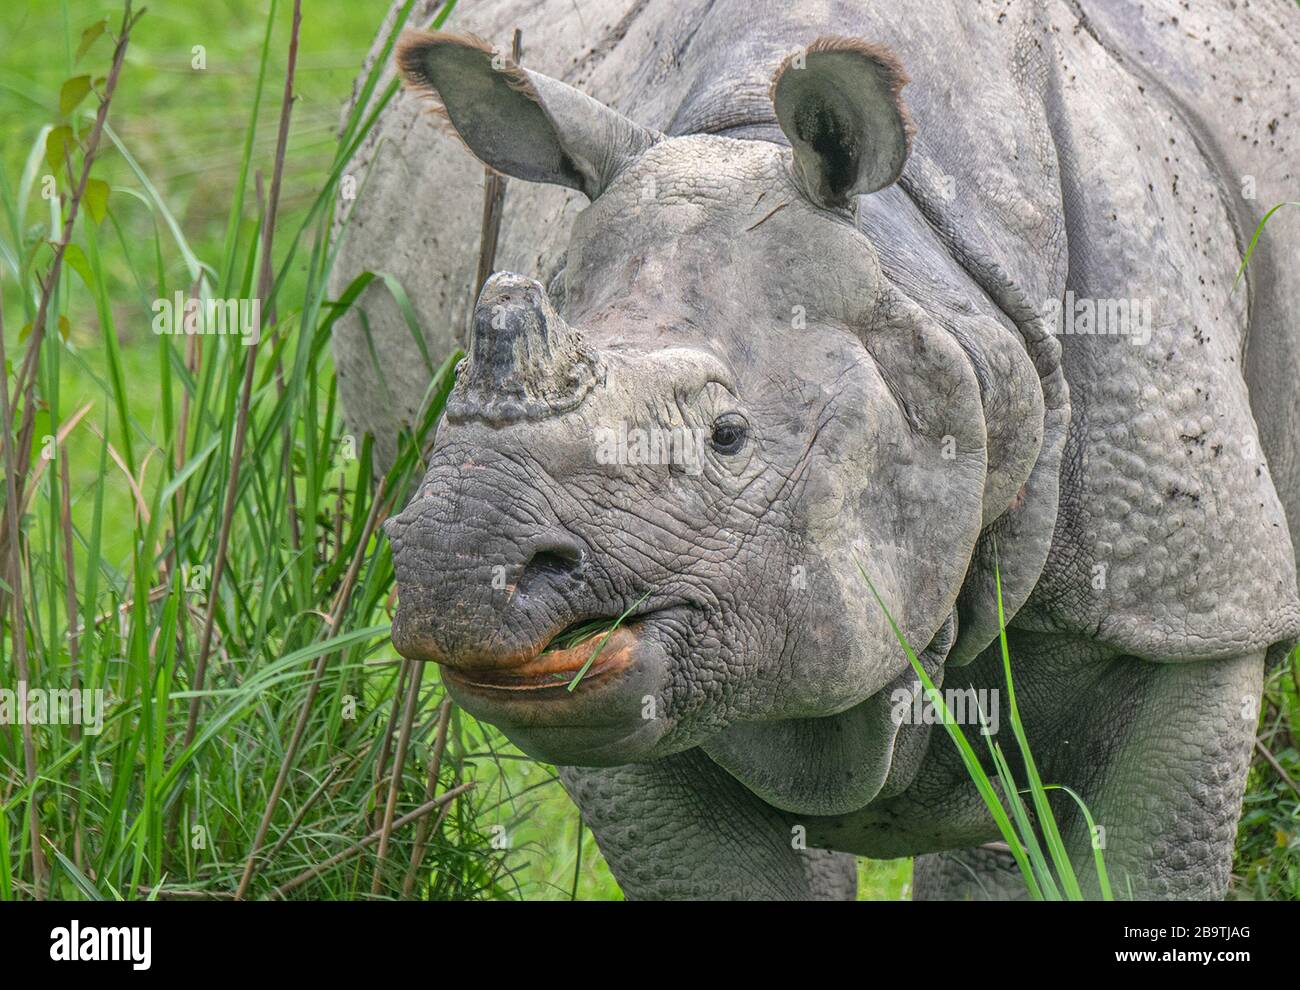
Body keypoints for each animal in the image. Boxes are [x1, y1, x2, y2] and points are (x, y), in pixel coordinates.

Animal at [332, 0, 1300, 900]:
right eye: (452, 398)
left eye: (727, 438)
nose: (459, 571)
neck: (933, 285)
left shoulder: (1187, 611)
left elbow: (1132, 854)